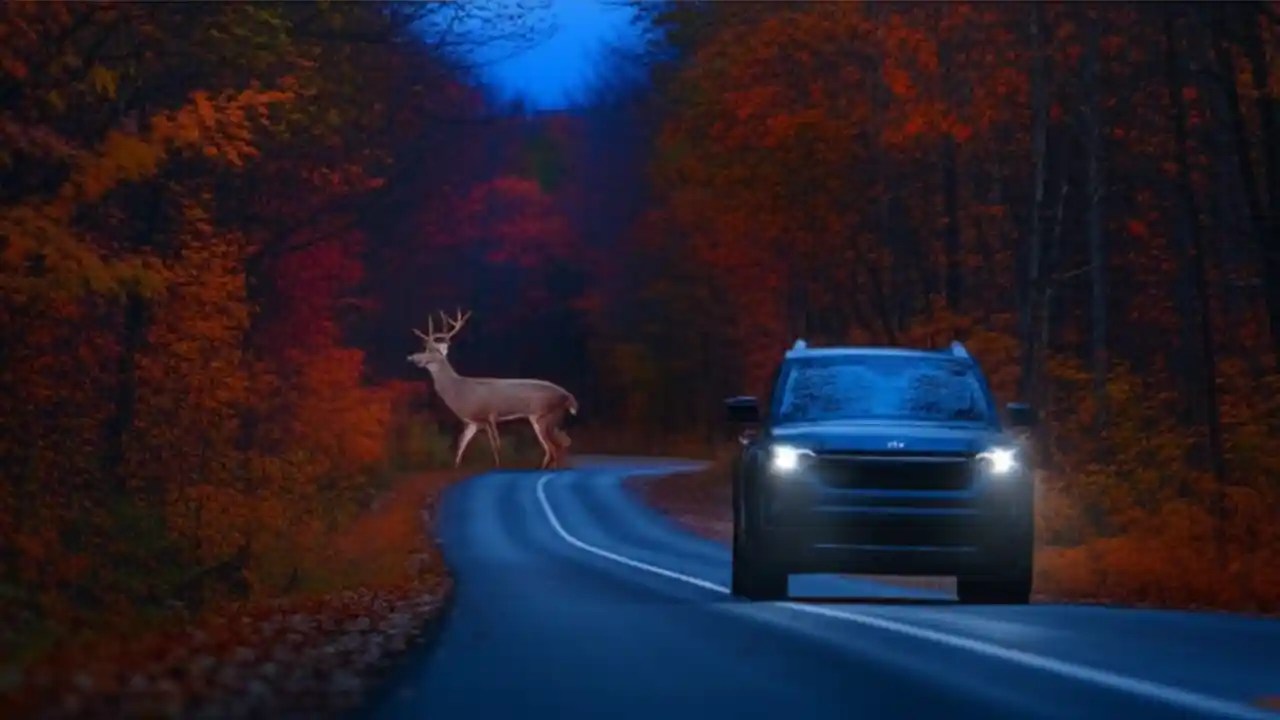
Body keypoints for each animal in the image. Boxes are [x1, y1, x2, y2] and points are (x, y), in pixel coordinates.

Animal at [407, 308, 578, 470]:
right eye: (424, 349)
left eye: (432, 352)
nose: (411, 358)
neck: (459, 390)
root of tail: (568, 396)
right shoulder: (473, 423)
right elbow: (460, 448)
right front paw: (456, 467)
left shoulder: (489, 415)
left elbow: (496, 448)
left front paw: (497, 467)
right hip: (552, 419)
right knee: (562, 444)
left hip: (544, 416)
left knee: (553, 449)